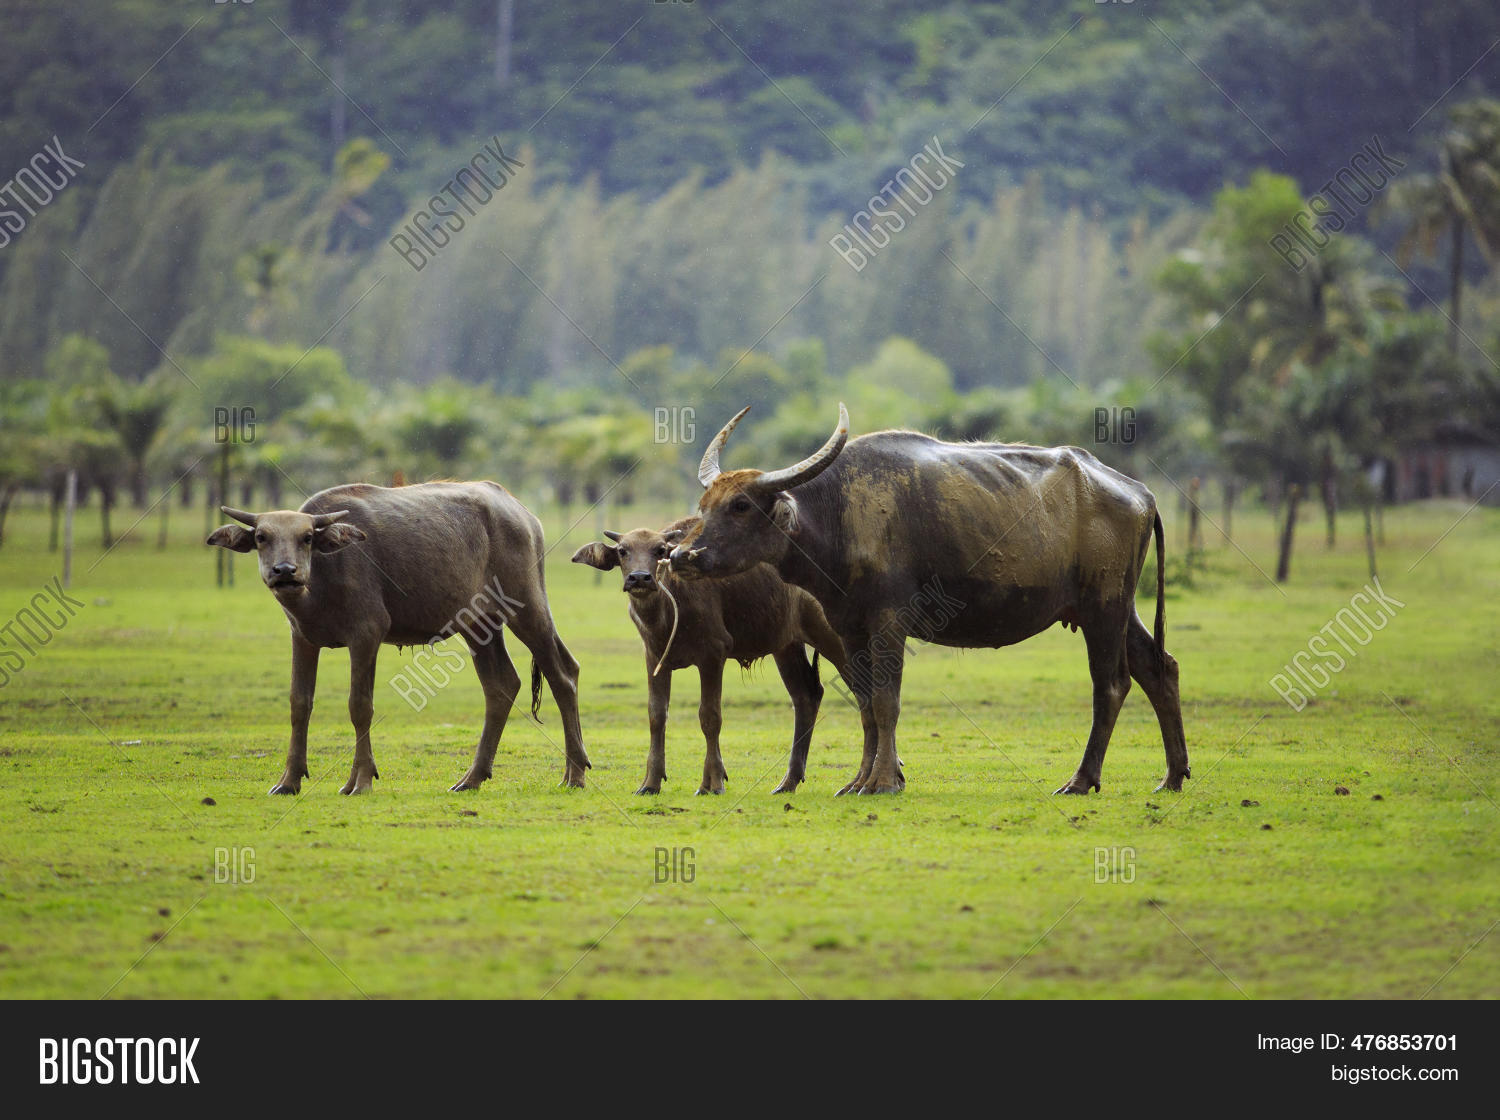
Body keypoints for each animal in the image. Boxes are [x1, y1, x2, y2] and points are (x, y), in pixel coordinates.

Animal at [206, 482, 590, 794]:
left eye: (307, 538)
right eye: (262, 537)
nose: (284, 571)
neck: (324, 576)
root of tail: (522, 513)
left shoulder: (366, 634)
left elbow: (359, 706)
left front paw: (360, 780)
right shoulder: (302, 639)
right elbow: (299, 703)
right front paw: (289, 781)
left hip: (527, 608)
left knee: (562, 674)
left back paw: (575, 773)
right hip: (479, 624)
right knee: (502, 685)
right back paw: (472, 777)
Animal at [670, 405, 1189, 796]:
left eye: (740, 505)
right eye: (703, 507)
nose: (681, 555)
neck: (839, 513)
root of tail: (1139, 492)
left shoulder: (889, 622)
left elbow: (886, 701)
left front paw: (882, 782)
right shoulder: (849, 626)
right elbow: (865, 702)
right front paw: (858, 780)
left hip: (1105, 606)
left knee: (1112, 684)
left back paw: (1082, 780)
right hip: (1116, 608)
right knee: (1158, 668)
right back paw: (1173, 776)